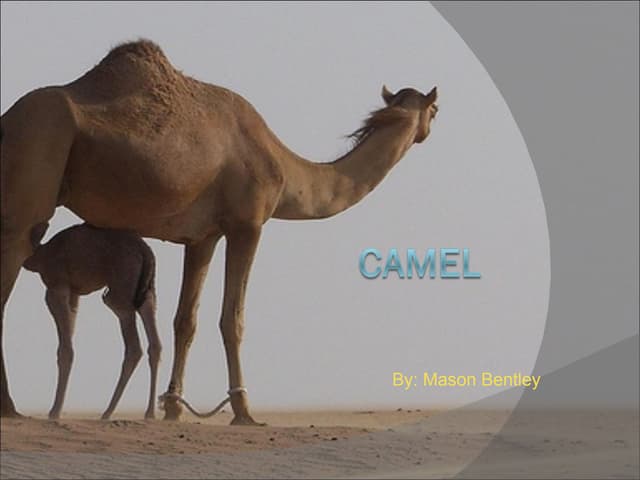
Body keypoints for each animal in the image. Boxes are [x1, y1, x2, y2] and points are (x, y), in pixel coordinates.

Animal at [22, 223, 160, 420]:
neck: (41, 254)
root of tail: (146, 251)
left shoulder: (57, 286)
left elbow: (65, 349)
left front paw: (55, 411)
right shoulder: (74, 293)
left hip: (120, 289)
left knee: (132, 343)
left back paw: (108, 412)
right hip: (147, 289)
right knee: (154, 341)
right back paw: (149, 412)